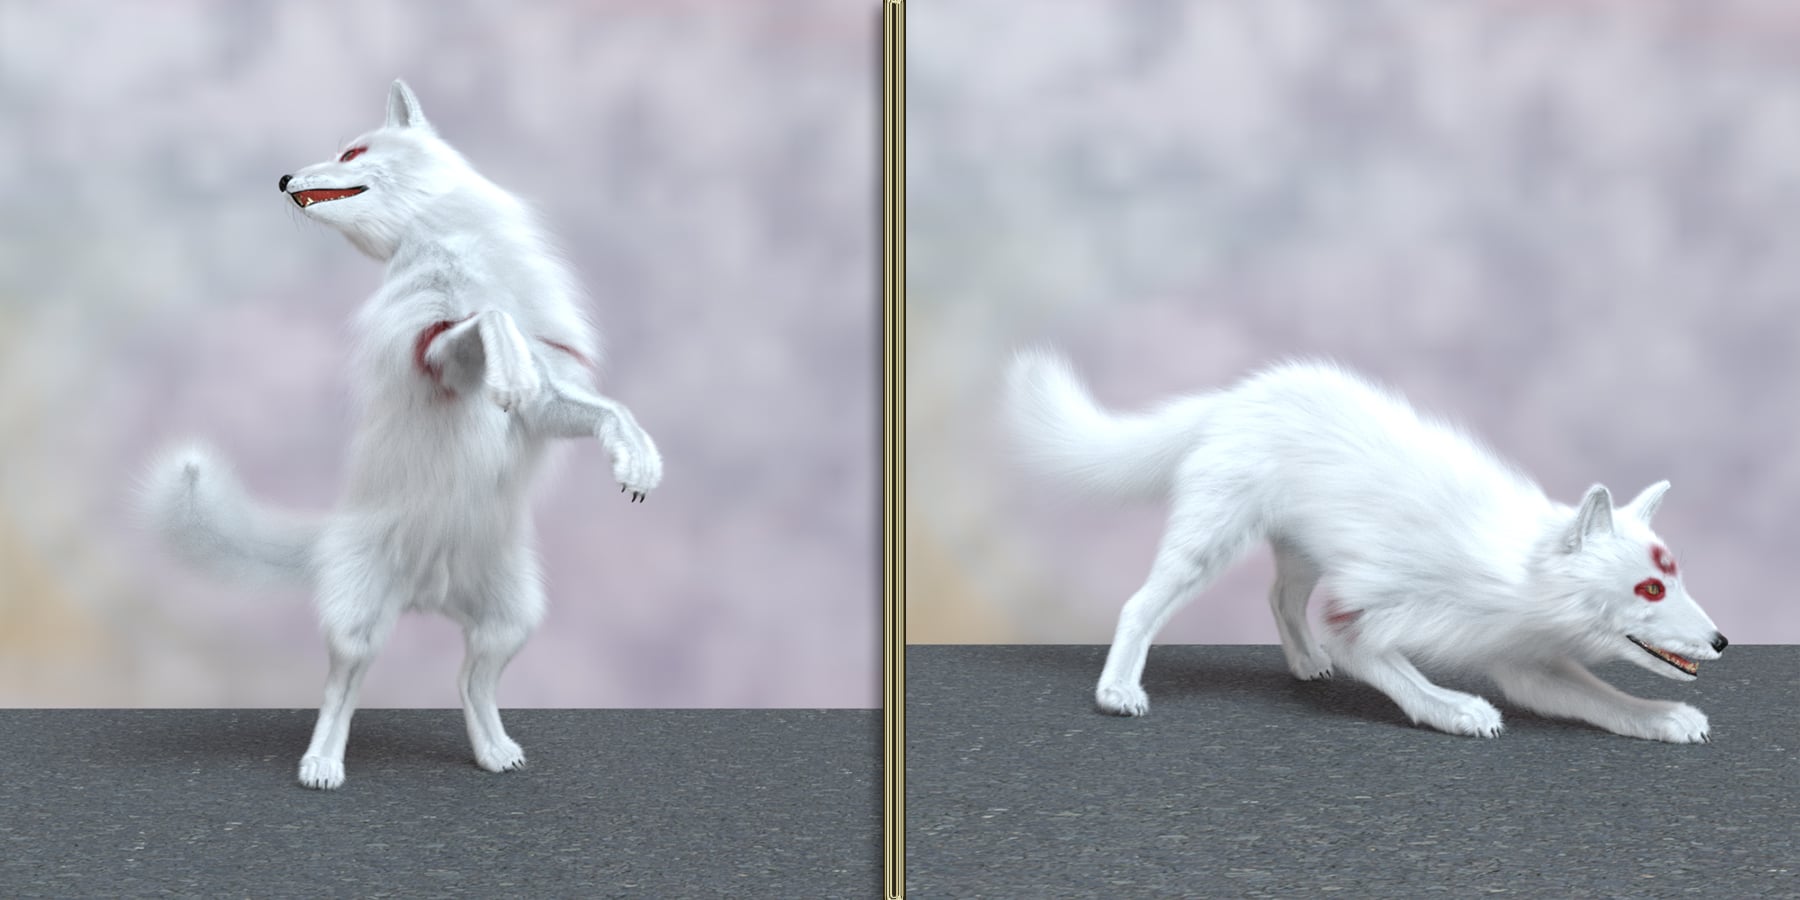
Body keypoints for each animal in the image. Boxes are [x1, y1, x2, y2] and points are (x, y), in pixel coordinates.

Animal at [138, 80, 663, 789]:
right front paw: (509, 368)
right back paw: (321, 764)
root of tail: (427, 590)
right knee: (340, 692)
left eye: (351, 152)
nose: (283, 178)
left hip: (510, 620)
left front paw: (636, 460)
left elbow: (606, 410)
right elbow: (487, 320)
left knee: (469, 684)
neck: (458, 249)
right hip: (359, 626)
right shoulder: (436, 355)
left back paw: (494, 751)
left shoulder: (549, 404)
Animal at [1004, 350, 1727, 743]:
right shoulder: (1361, 613)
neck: (1519, 580)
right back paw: (1118, 690)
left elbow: (1605, 701)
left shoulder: (1528, 664)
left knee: (1278, 597)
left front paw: (1662, 716)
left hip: (1304, 550)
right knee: (1140, 604)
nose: (1722, 640)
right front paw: (1454, 709)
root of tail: (1237, 395)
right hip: (1211, 541)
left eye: (1678, 577)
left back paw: (1305, 662)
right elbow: (1399, 671)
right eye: (1650, 587)